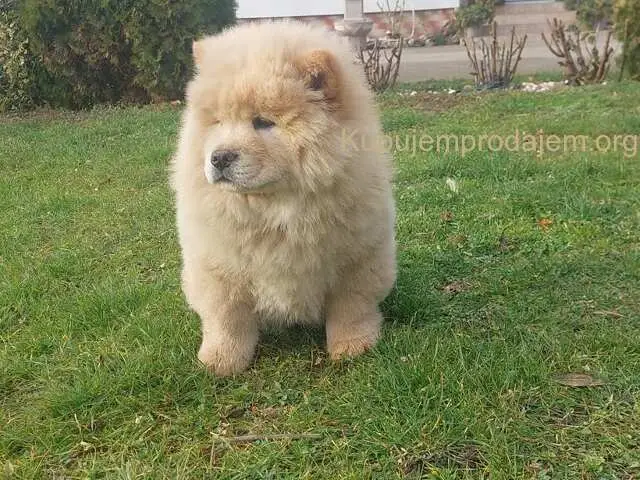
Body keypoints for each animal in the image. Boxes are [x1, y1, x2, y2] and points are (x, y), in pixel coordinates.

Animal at [172, 21, 398, 376]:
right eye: (218, 122)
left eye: (263, 122)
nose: (219, 157)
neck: (276, 209)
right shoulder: (218, 269)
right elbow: (227, 320)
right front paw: (221, 362)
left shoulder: (357, 260)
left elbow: (351, 309)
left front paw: (352, 347)